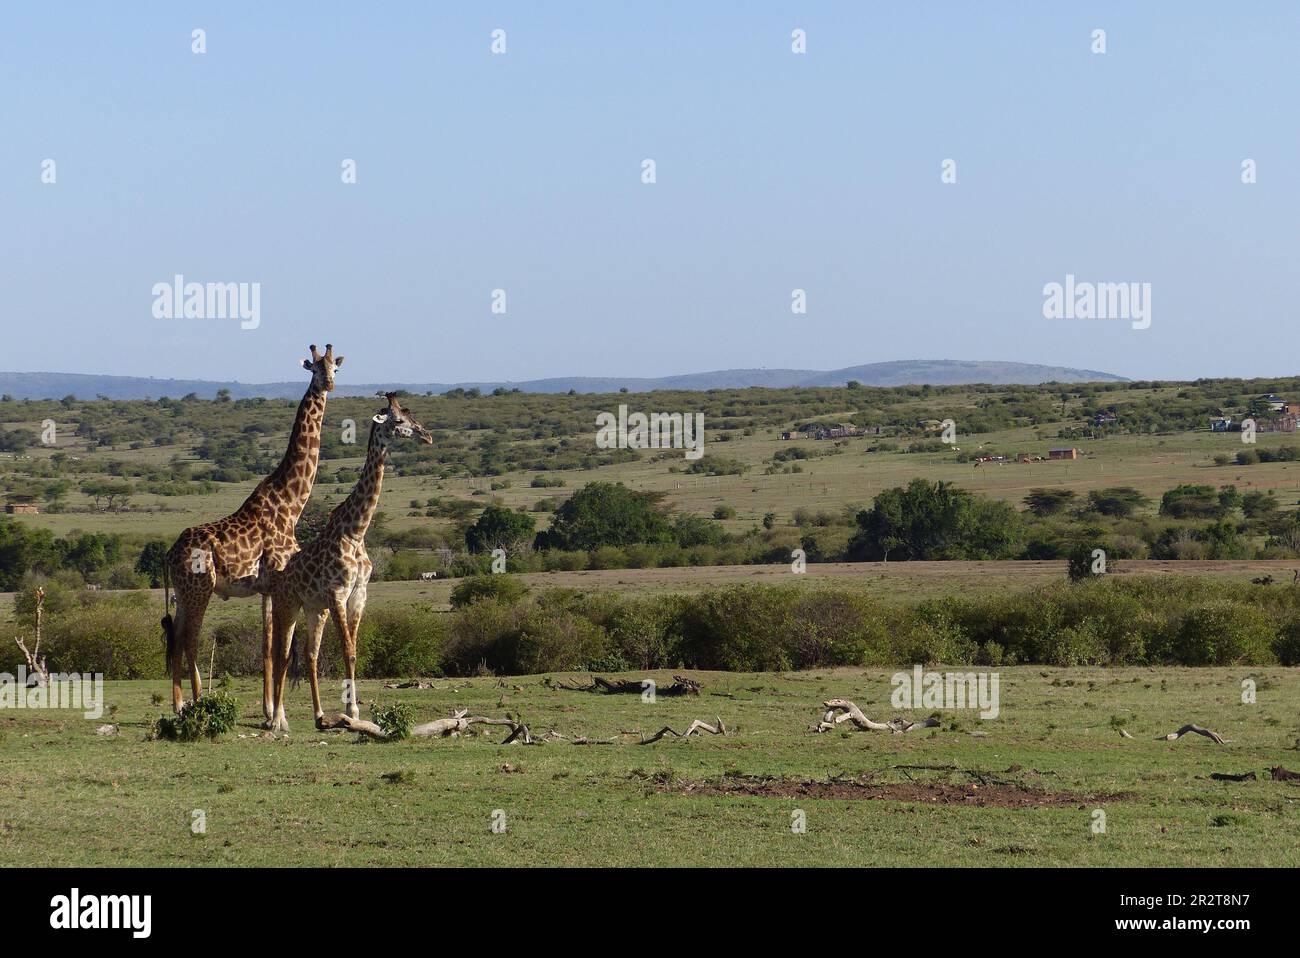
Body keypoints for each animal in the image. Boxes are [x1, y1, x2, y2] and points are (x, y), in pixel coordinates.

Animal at [161, 344, 343, 717]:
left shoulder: (267, 587)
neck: (292, 504)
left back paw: (179, 704)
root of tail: (170, 554)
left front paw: (268, 708)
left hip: (184, 593)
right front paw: (276, 712)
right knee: (190, 639)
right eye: (315, 369)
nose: (329, 385)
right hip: (200, 588)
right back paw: (198, 702)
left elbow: (266, 646)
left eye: (335, 368)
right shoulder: (279, 579)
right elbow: (277, 647)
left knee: (178, 637)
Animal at [265, 393, 432, 732]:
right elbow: (348, 649)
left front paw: (351, 710)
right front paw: (351, 709)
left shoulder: (358, 595)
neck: (356, 531)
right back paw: (277, 720)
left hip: (314, 608)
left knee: (310, 654)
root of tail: (276, 576)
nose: (426, 435)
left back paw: (317, 714)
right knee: (282, 654)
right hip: (287, 605)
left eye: (412, 415)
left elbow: (352, 651)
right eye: (398, 420)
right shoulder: (337, 594)